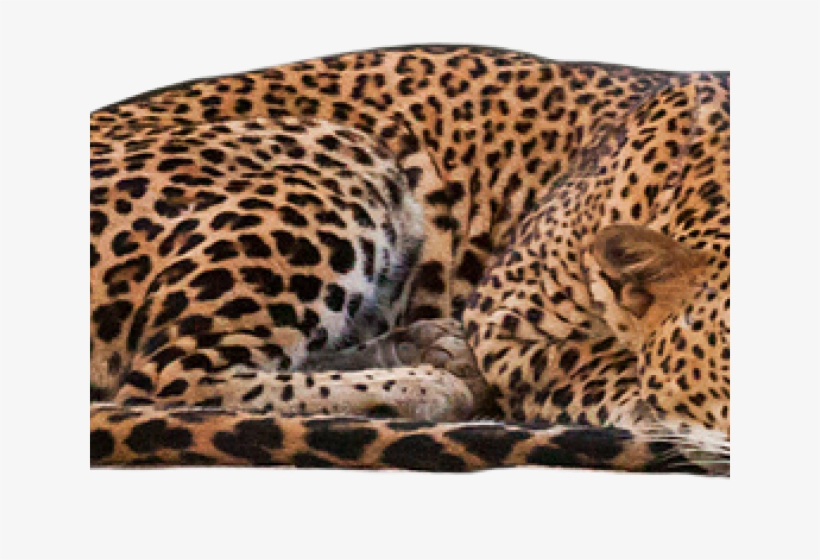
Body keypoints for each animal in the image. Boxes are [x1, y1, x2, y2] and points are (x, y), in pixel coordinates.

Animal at [90, 45, 729, 474]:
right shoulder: (506, 317)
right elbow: (597, 363)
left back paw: (429, 349)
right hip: (340, 156)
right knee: (165, 381)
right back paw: (429, 387)